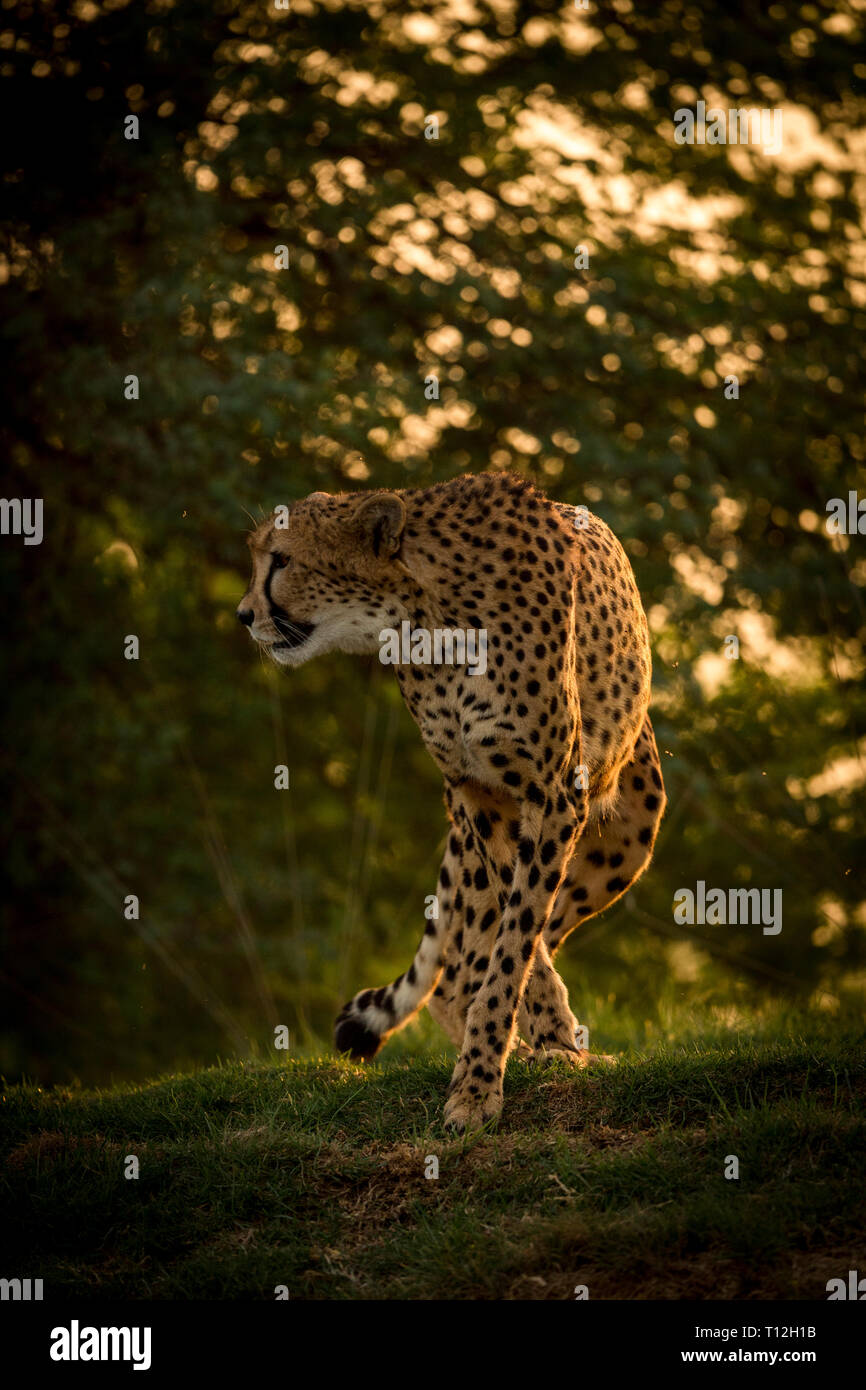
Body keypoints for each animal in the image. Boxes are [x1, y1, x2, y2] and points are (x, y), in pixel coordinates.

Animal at [237, 472, 666, 1132]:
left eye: (281, 560)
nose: (243, 615)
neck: (428, 613)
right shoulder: (477, 791)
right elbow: (512, 946)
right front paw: (511, 1057)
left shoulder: (550, 794)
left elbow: (515, 944)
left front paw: (481, 1082)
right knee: (460, 966)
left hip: (629, 829)